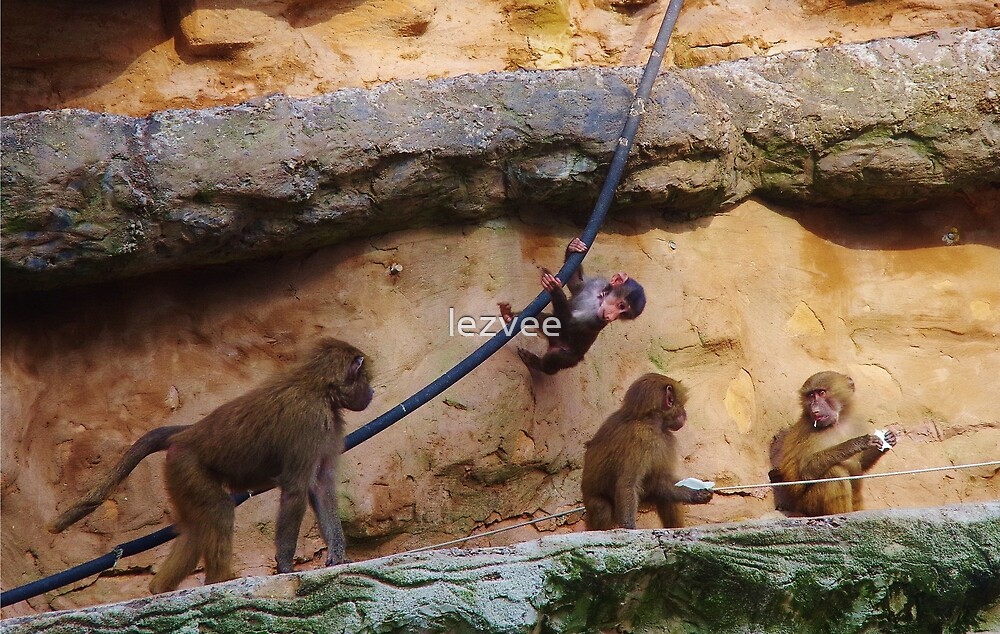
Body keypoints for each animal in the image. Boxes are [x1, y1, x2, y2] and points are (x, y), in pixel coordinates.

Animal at [48, 337, 374, 594]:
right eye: (366, 378)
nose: (371, 393)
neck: (318, 387)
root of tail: (188, 434)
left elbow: (321, 487)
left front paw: (338, 558)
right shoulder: (310, 421)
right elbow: (296, 489)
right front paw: (285, 567)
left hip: (178, 473)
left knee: (195, 528)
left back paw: (159, 589)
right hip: (187, 465)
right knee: (218, 510)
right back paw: (218, 580)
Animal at [499, 237, 646, 375]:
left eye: (623, 314)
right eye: (621, 306)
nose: (612, 316)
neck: (599, 299)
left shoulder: (596, 320)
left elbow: (569, 322)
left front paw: (555, 290)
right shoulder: (597, 282)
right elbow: (576, 283)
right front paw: (573, 246)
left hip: (570, 359)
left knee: (555, 357)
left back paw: (539, 365)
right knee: (544, 320)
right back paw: (509, 316)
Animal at [581, 373, 712, 530]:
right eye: (680, 405)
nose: (685, 414)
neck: (647, 419)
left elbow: (661, 481)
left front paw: (696, 494)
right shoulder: (642, 438)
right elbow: (627, 484)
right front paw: (630, 527)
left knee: (665, 496)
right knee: (600, 507)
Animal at [772, 371, 897, 516]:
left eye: (821, 393)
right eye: (811, 395)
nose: (815, 410)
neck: (837, 423)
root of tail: (798, 510)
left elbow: (862, 463)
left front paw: (888, 439)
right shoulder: (809, 432)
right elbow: (805, 473)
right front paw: (858, 443)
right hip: (809, 505)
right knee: (835, 472)